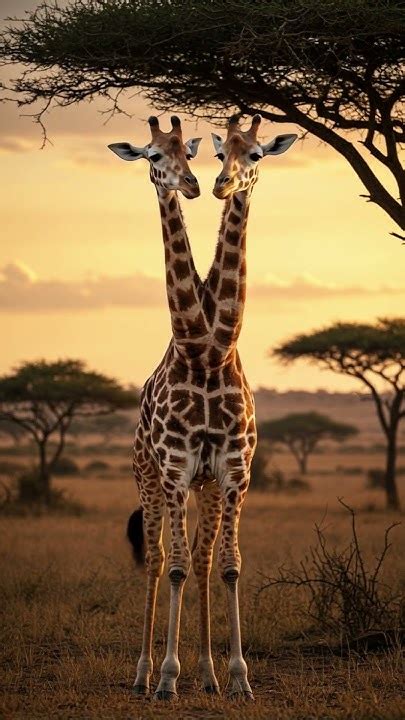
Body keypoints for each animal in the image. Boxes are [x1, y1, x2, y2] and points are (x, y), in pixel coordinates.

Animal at [109, 114, 297, 702]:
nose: (204, 186)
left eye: (255, 153)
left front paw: (237, 678)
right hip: (148, 479)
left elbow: (230, 566)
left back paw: (209, 675)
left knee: (204, 557)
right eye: (153, 155)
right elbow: (172, 568)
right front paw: (169, 679)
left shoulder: (233, 471)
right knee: (155, 562)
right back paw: (144, 674)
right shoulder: (173, 469)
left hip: (206, 487)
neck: (207, 353)